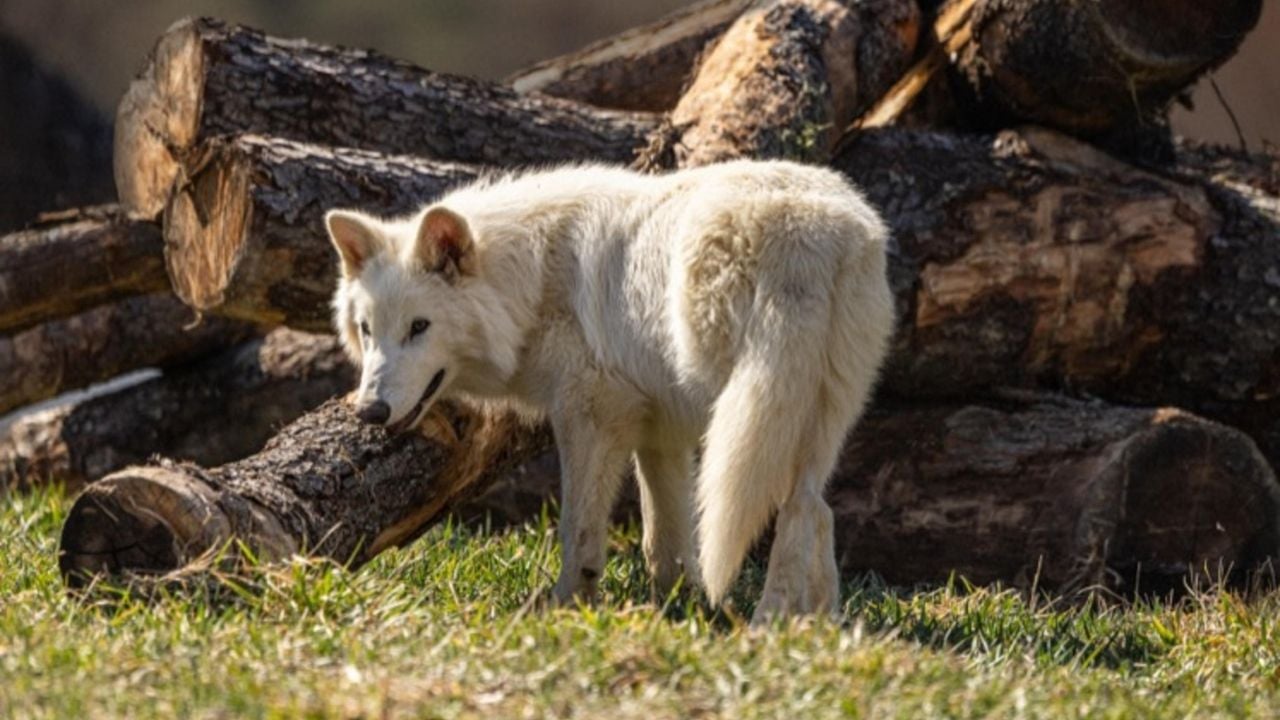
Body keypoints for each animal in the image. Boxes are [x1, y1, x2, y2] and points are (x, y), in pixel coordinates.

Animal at [325, 159, 895, 620]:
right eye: (367, 330)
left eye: (419, 327)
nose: (371, 411)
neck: (531, 282)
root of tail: (812, 234)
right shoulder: (660, 434)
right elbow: (664, 540)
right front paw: (675, 609)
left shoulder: (592, 418)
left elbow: (578, 531)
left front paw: (565, 607)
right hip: (807, 422)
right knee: (812, 510)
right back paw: (812, 626)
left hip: (743, 418)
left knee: (792, 511)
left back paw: (767, 626)